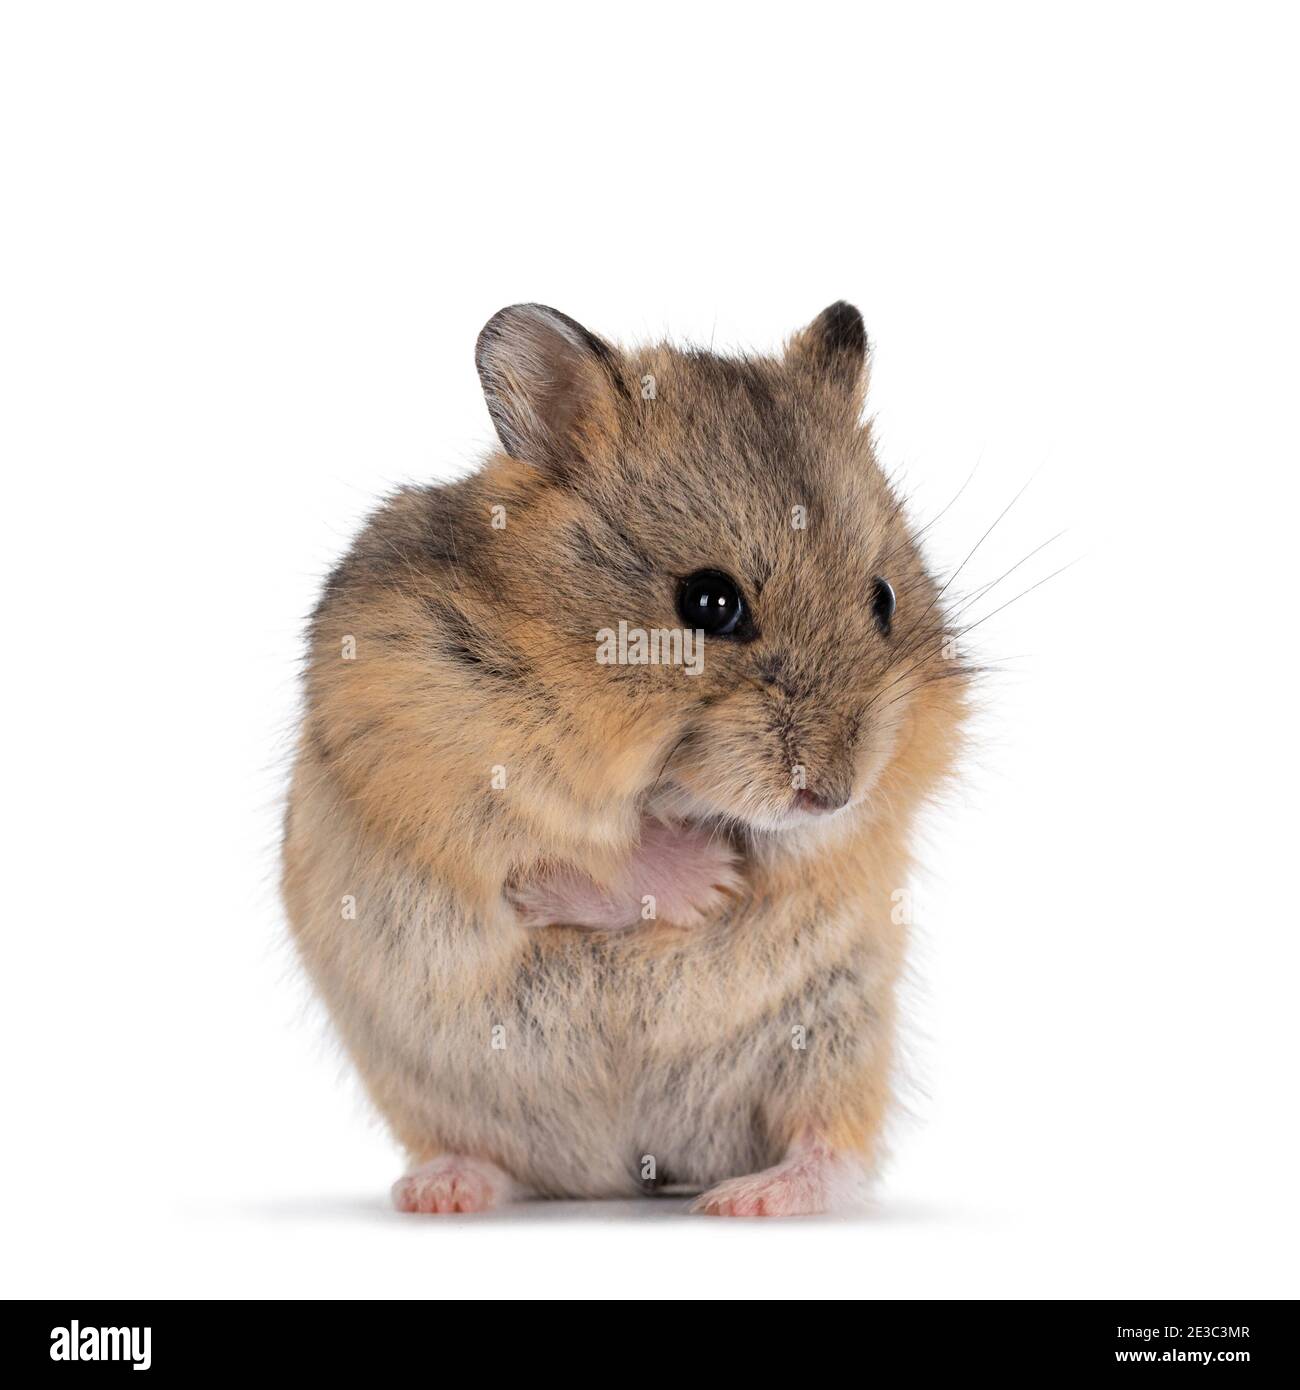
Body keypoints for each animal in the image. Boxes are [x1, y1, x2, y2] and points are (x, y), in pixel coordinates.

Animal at [281, 302, 970, 1216]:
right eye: (709, 602)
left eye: (884, 599)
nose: (831, 794)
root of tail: (628, 1168)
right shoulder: (410, 730)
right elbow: (561, 854)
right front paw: (700, 881)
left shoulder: (887, 792)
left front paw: (722, 875)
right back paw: (440, 1191)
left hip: (837, 1035)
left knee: (833, 1145)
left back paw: (749, 1199)